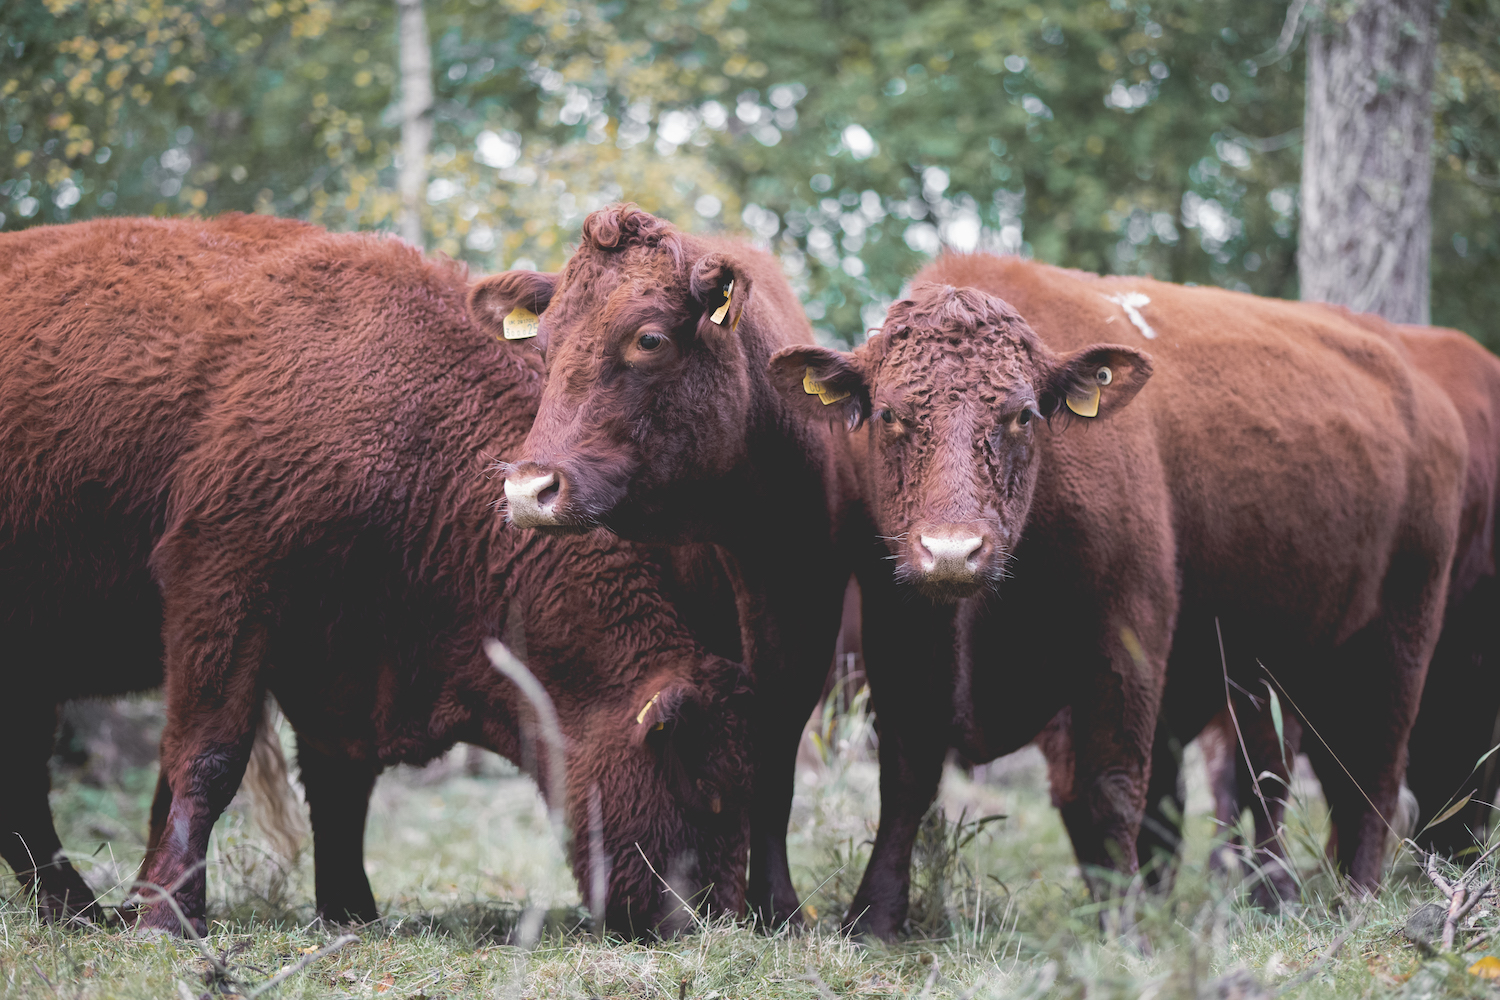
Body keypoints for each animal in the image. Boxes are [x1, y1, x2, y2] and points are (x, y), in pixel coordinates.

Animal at [0, 214, 752, 937]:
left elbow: (339, 783)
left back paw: (74, 908)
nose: (719, 915)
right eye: (701, 785)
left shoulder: (340, 652)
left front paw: (350, 911)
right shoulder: (222, 584)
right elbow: (206, 756)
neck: (414, 414)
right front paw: (165, 918)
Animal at [466, 204, 885, 928]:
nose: (527, 489)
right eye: (541, 347)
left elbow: (776, 760)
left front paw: (778, 905)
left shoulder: (807, 623)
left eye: (650, 339)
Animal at [768, 253, 1468, 938]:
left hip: (1400, 635)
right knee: (1266, 777)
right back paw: (1274, 897)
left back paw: (1355, 898)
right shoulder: (899, 636)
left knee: (1373, 772)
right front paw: (874, 916)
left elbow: (1113, 785)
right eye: (890, 414)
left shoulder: (1127, 642)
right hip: (1265, 667)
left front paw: (1126, 922)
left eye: (1023, 415)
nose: (952, 550)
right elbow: (909, 777)